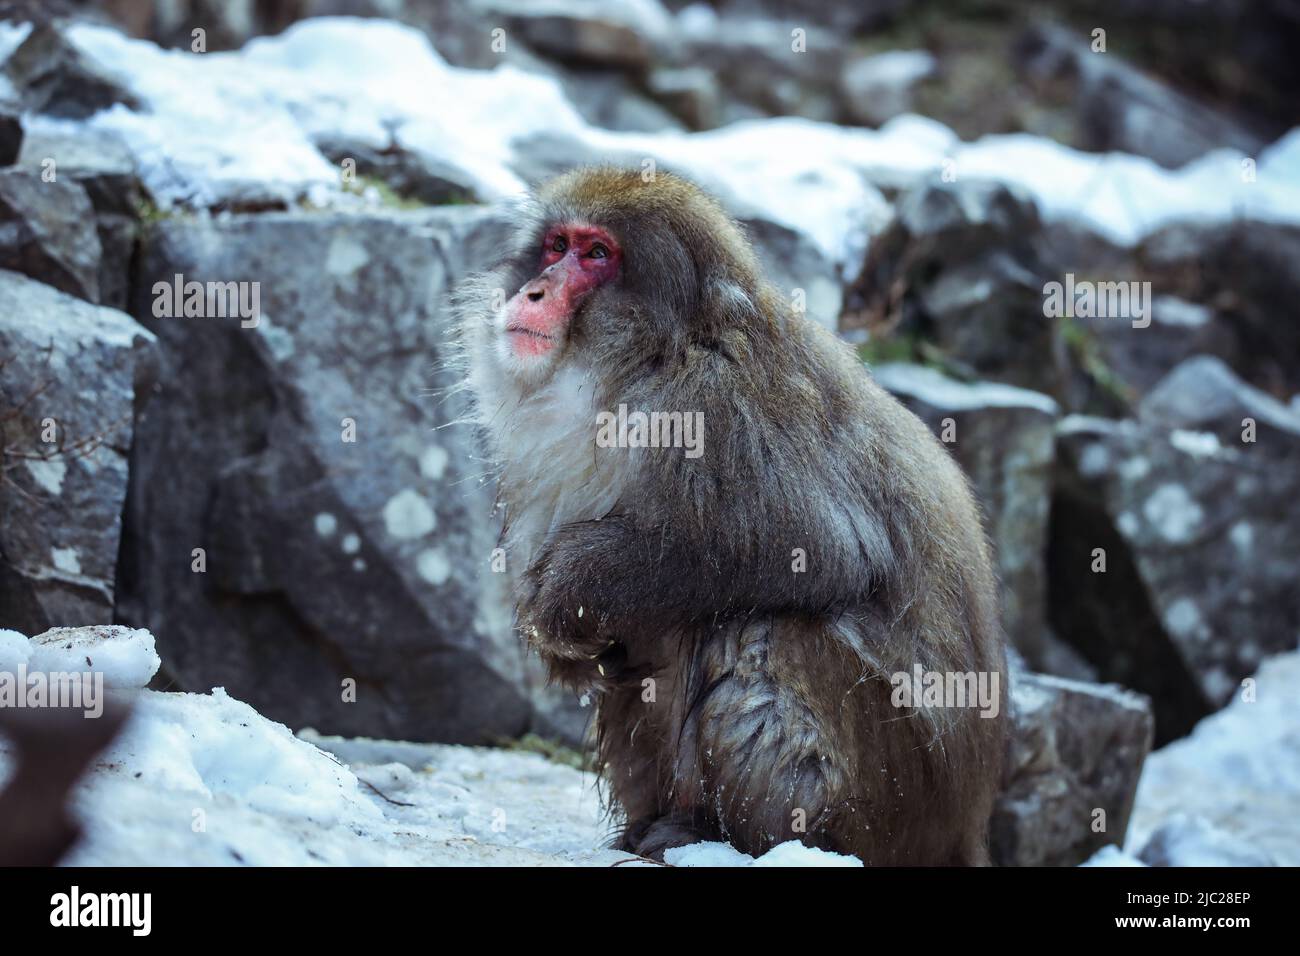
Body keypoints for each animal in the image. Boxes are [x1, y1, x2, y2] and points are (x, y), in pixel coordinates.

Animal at [456, 167, 1007, 865]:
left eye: (597, 254)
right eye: (557, 245)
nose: (535, 289)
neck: (647, 361)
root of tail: (964, 830)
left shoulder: (718, 408)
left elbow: (820, 551)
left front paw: (562, 595)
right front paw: (562, 636)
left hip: (894, 801)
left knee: (758, 629)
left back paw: (740, 835)